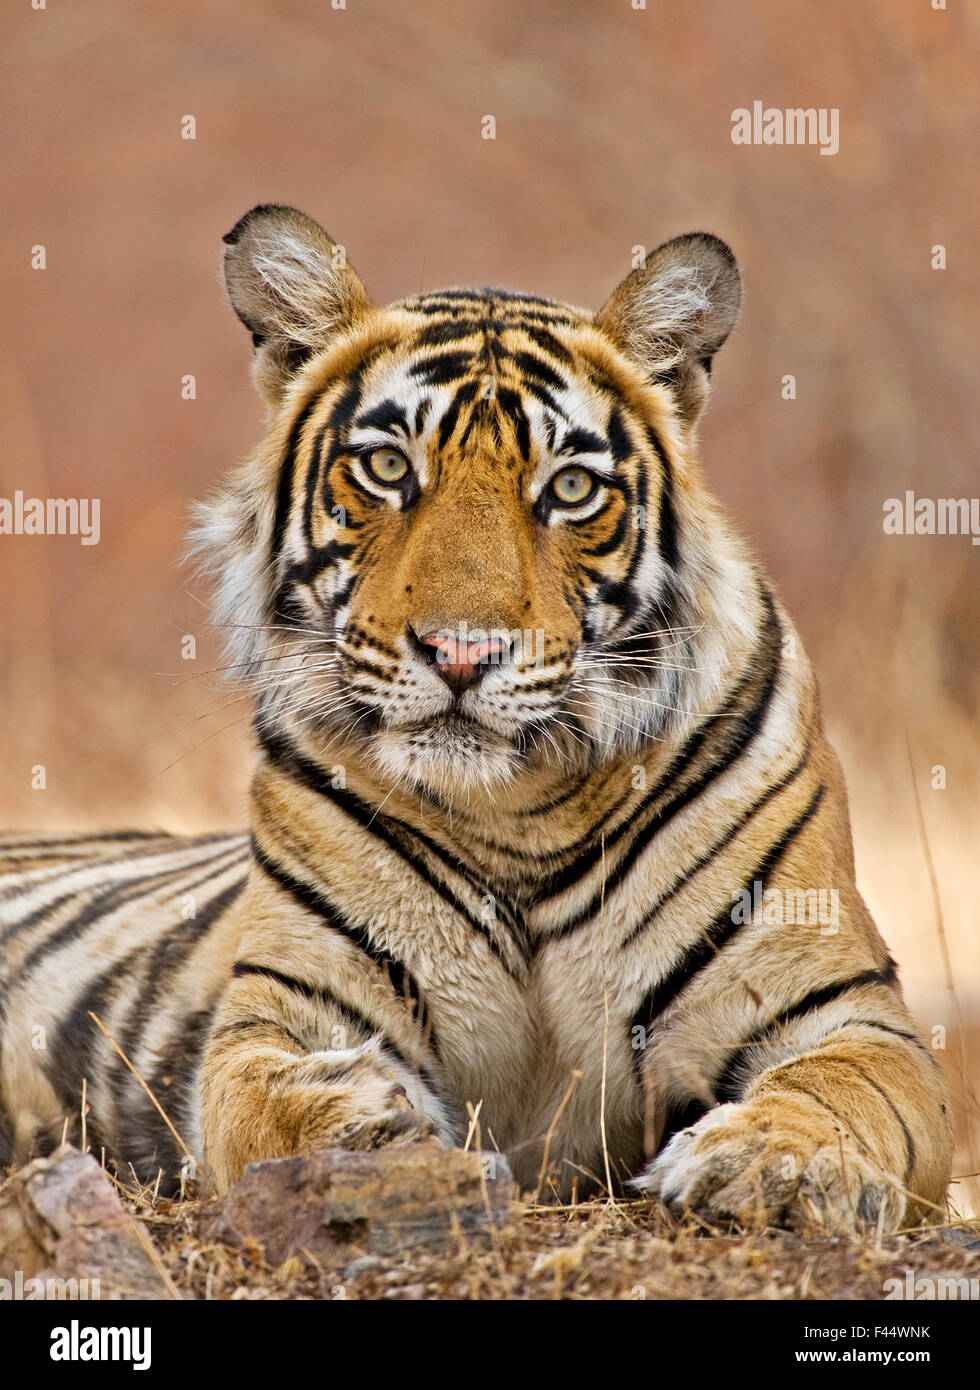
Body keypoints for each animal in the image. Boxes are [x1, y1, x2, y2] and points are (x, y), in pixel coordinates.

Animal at [0, 205, 952, 1235]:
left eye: (570, 488)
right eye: (386, 469)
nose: (461, 653)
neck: (520, 808)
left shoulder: (843, 1009)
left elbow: (847, 1091)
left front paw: (773, 1162)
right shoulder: (281, 1010)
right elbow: (258, 1101)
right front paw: (363, 1120)